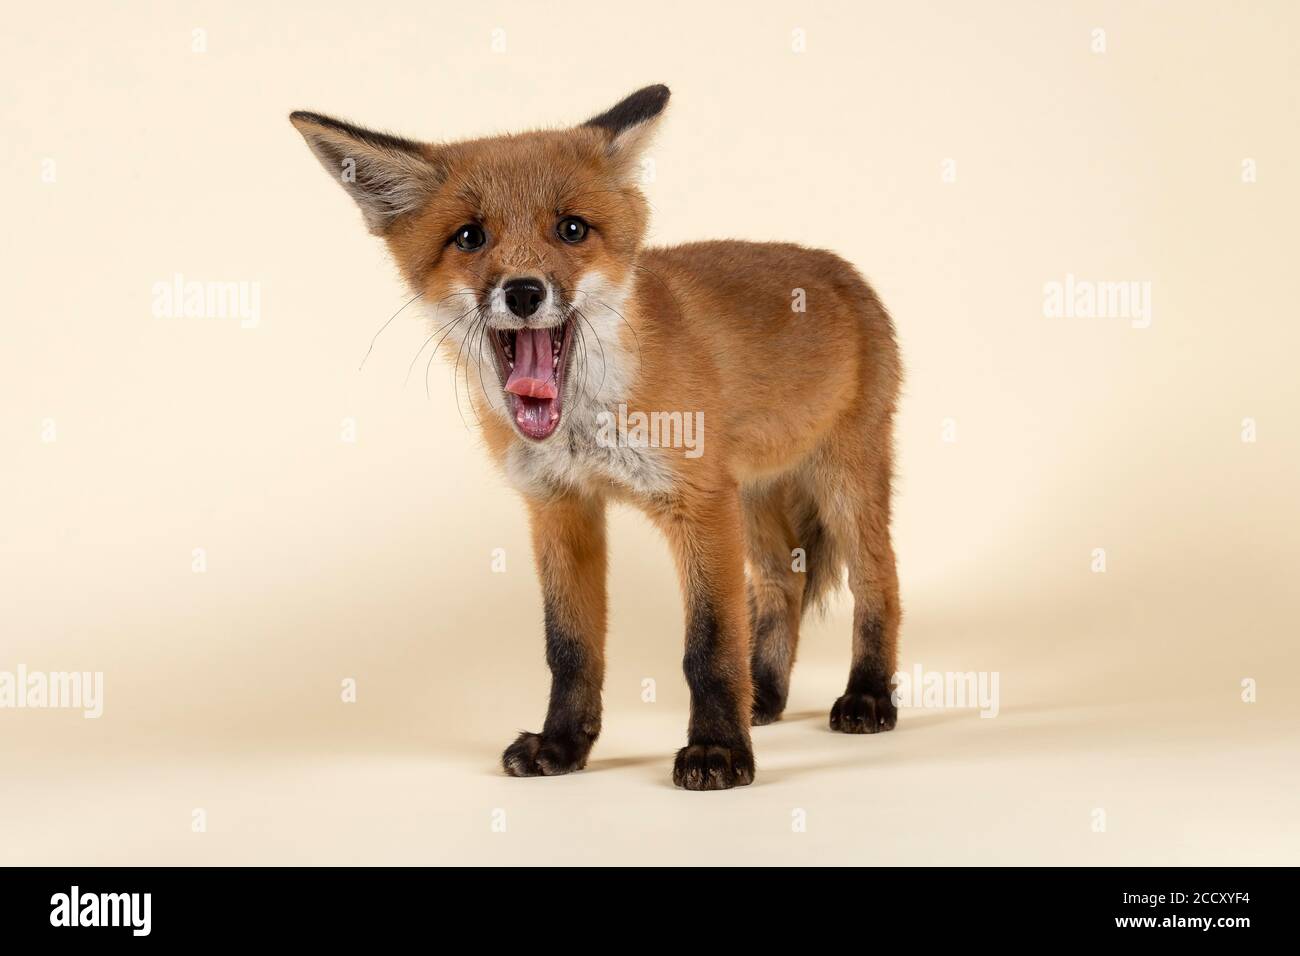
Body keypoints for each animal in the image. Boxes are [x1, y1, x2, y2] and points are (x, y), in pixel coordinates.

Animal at [290, 85, 902, 790]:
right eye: (469, 237)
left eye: (572, 229)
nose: (524, 292)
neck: (585, 421)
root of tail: (837, 266)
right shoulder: (560, 506)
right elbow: (570, 647)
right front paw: (563, 745)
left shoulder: (698, 503)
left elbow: (710, 645)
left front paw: (718, 749)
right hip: (753, 497)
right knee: (782, 584)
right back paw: (765, 695)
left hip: (843, 481)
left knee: (879, 580)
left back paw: (867, 696)